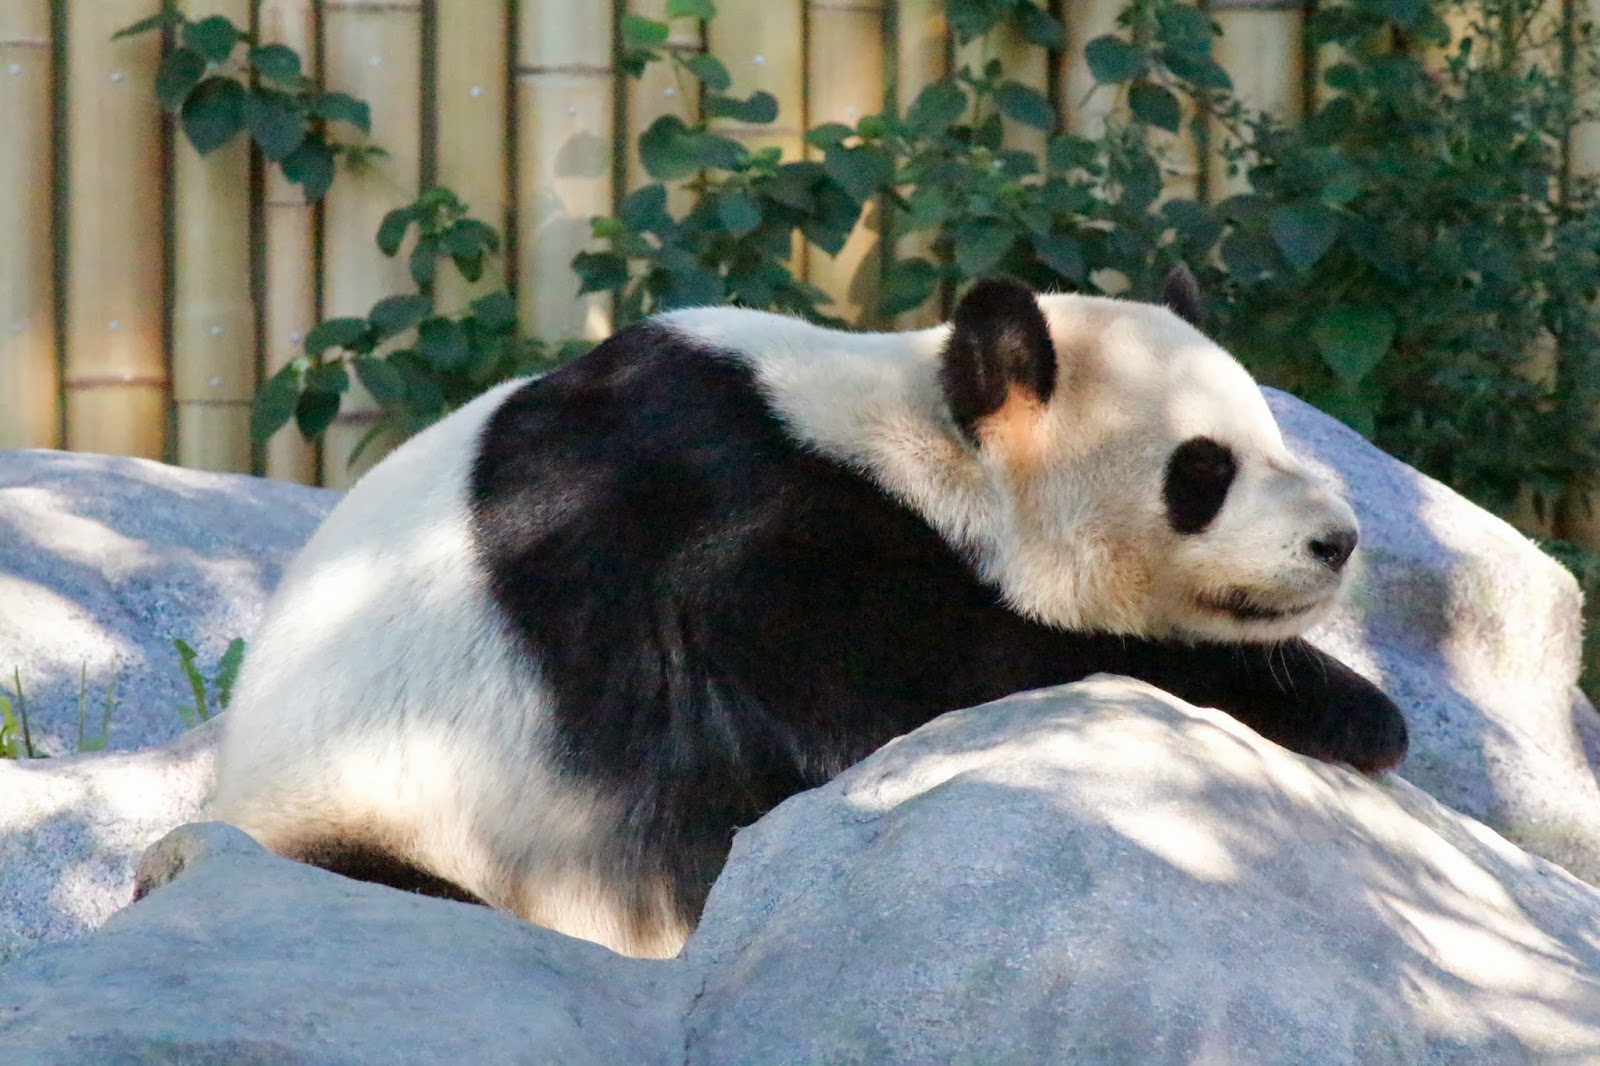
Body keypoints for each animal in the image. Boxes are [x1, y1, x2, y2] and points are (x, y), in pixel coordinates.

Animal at [210, 271, 1407, 959]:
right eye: (1201, 471)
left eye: (1271, 435)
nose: (1336, 540)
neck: (905, 439)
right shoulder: (732, 536)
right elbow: (904, 686)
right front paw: (1354, 709)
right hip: (389, 808)